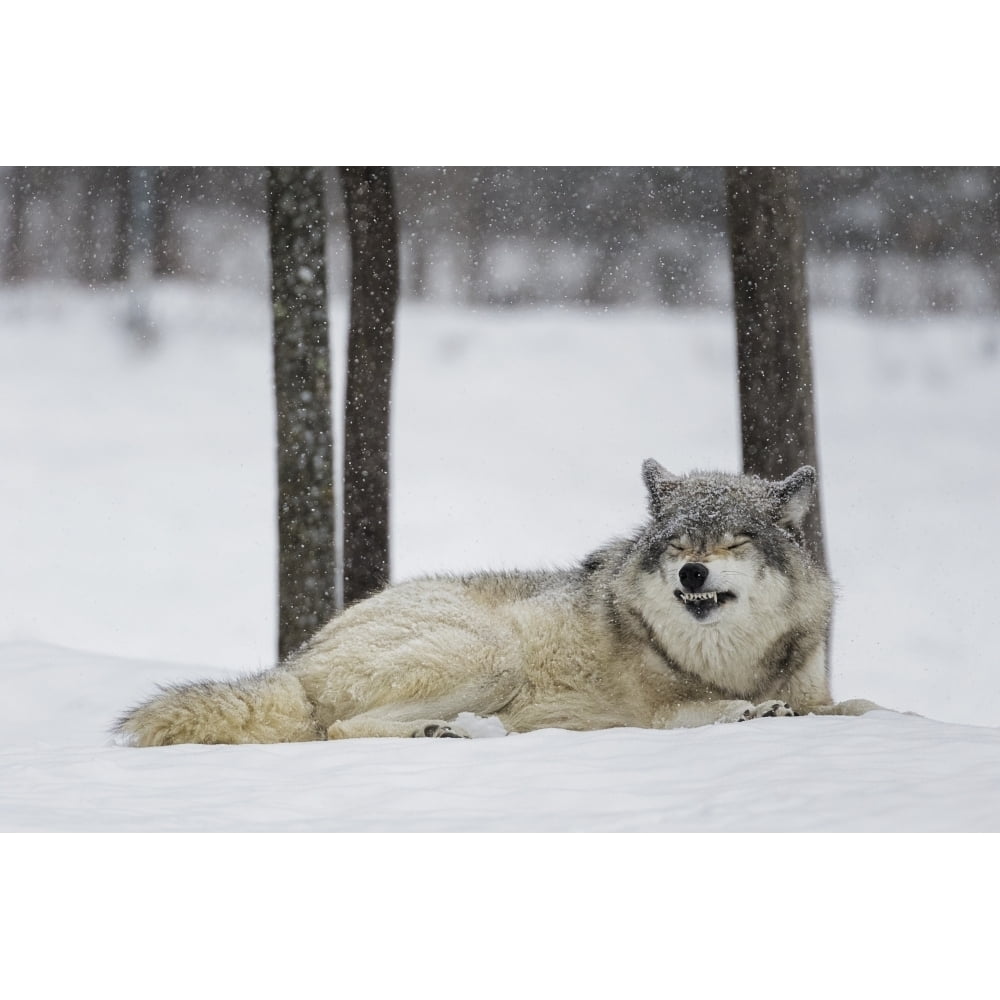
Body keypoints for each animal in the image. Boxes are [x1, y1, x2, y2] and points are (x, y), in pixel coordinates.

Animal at [114, 461, 882, 746]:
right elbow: (702, 712)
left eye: (731, 542)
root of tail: (297, 658)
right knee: (336, 729)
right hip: (491, 655)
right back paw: (446, 732)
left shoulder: (813, 686)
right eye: (676, 545)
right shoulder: (653, 711)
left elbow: (858, 706)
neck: (729, 657)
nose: (692, 574)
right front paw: (749, 711)